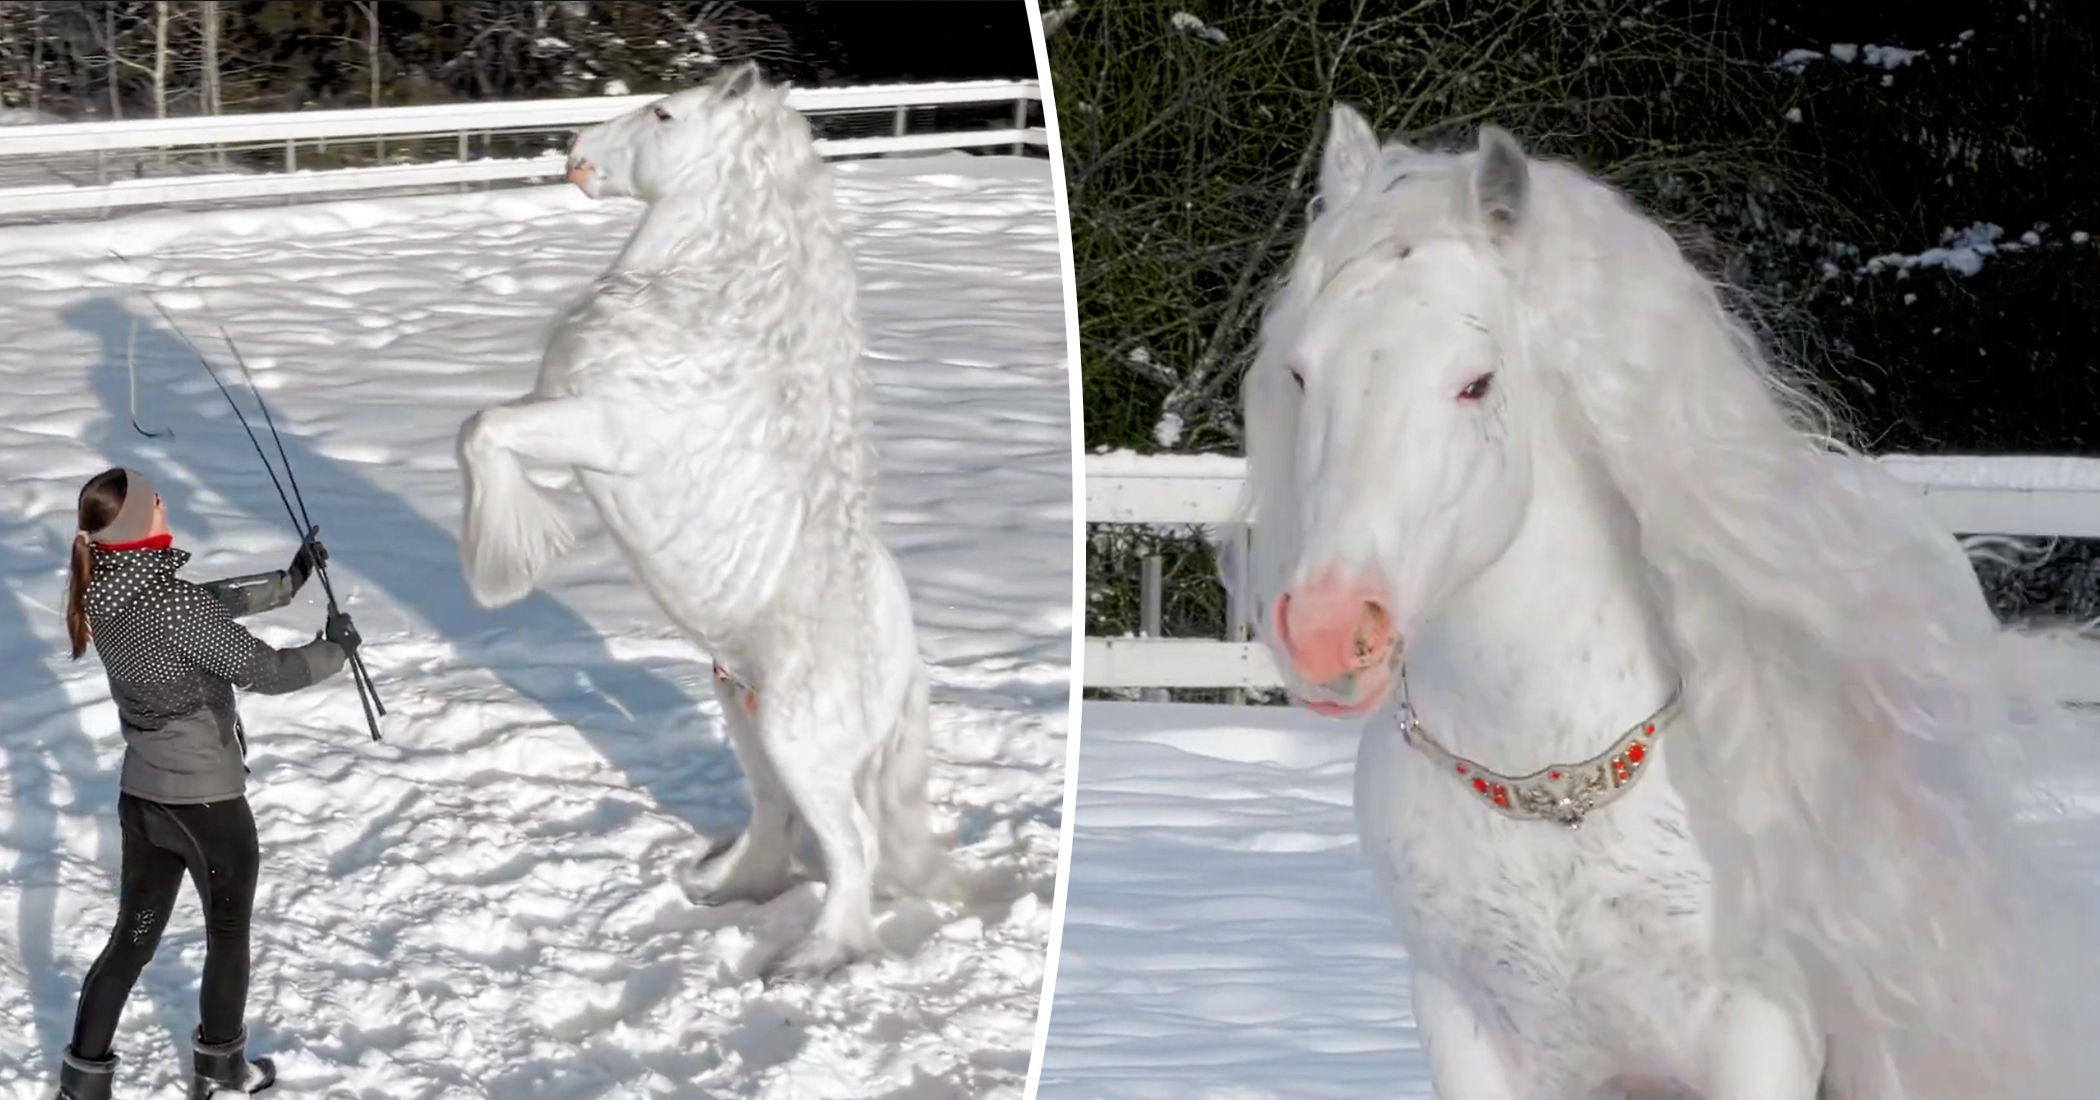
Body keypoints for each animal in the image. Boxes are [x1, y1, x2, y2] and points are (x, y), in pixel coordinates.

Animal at [454, 62, 948, 978]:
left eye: (663, 114)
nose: (574, 151)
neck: (700, 316)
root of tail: (901, 661)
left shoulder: (600, 432)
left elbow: (482, 430)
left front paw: (501, 571)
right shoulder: (563, 434)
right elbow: (487, 432)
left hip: (797, 736)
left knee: (852, 844)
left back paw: (814, 959)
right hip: (743, 714)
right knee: (777, 818)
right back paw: (723, 889)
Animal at [1224, 103, 2100, 1100]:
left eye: (1477, 381)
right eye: (1300, 373)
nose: (1330, 632)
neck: (1550, 785)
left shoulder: (1761, 1030)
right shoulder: (1464, 1030)